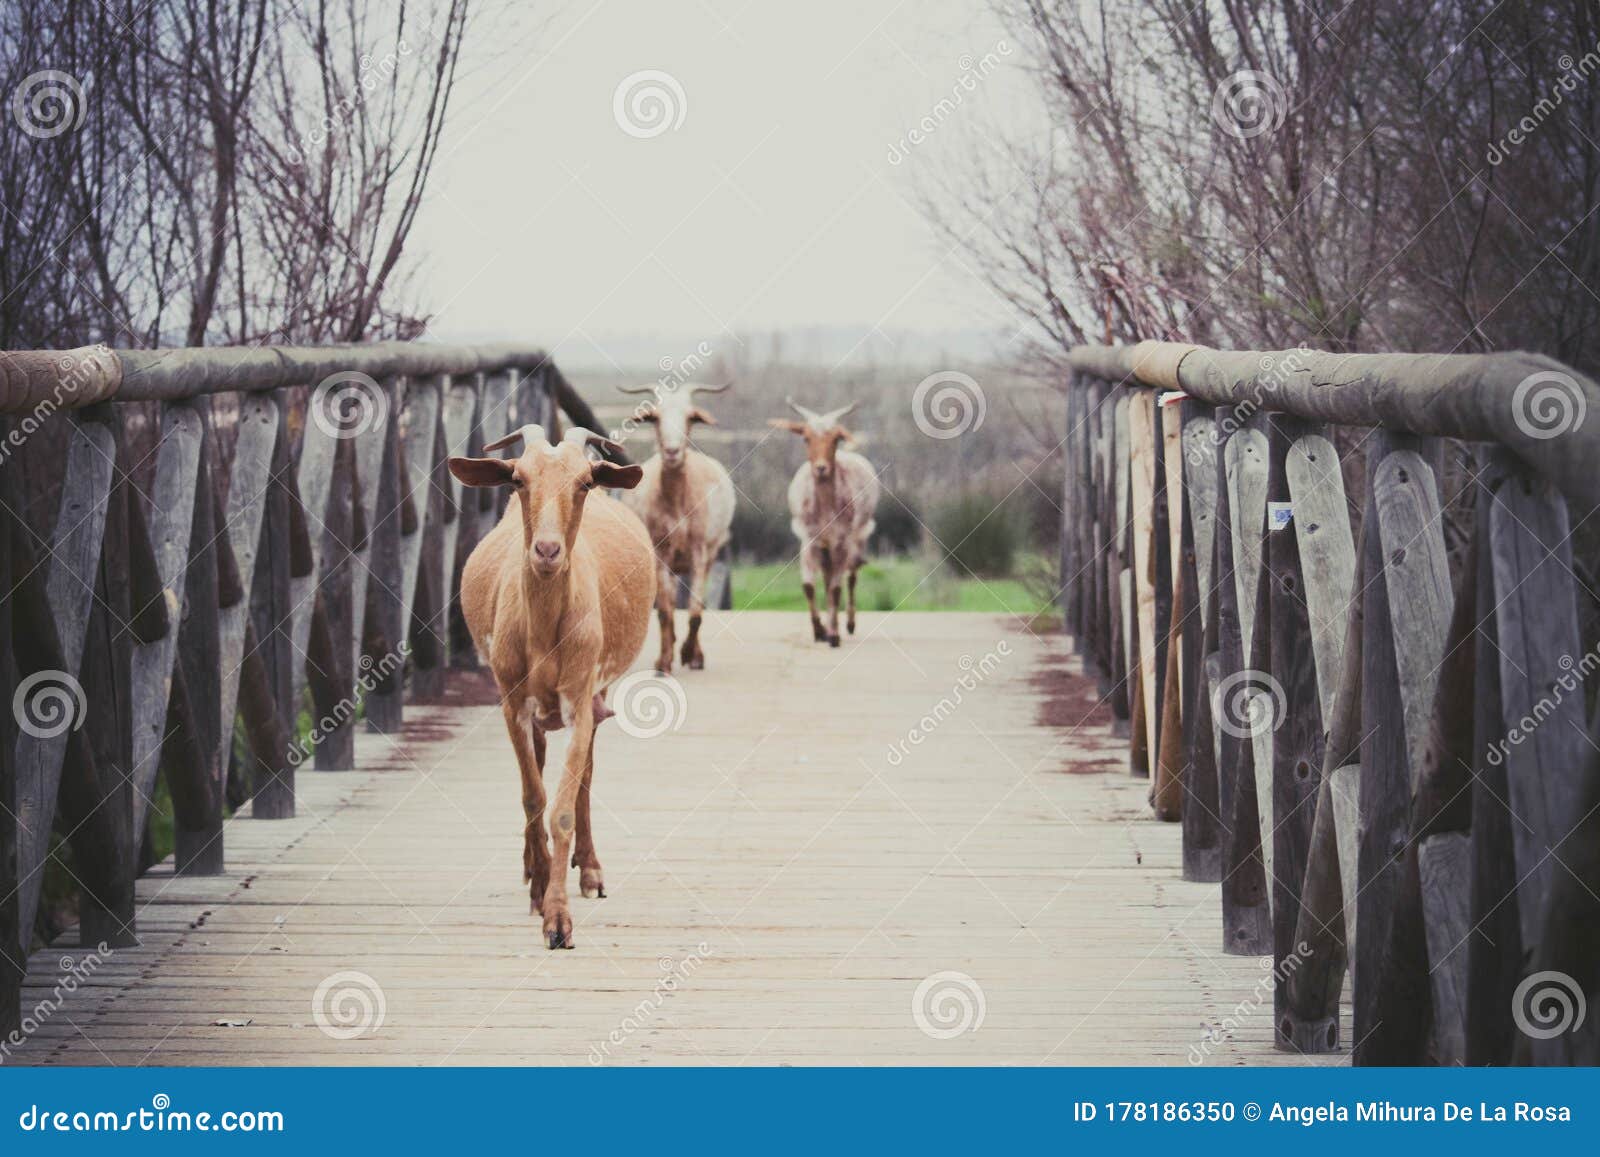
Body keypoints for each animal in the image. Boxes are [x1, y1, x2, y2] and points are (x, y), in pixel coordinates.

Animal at [450, 424, 652, 949]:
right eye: (518, 479)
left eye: (584, 482)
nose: (546, 550)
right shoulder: (512, 701)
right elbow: (533, 796)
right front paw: (540, 891)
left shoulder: (580, 699)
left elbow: (562, 806)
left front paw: (559, 920)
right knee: (538, 765)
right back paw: (531, 868)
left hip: (595, 696)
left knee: (585, 775)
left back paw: (591, 870)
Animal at [617, 380, 736, 673]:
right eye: (655, 418)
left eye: (690, 417)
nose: (672, 452)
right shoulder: (660, 552)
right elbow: (664, 611)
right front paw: (664, 661)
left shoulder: (700, 553)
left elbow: (695, 612)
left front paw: (691, 655)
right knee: (668, 601)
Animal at [768, 398, 879, 645]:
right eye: (806, 437)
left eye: (836, 438)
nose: (821, 468)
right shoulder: (809, 540)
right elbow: (809, 586)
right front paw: (819, 630)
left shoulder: (842, 541)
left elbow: (836, 589)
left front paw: (834, 635)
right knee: (828, 579)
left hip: (857, 539)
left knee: (850, 577)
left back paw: (848, 624)